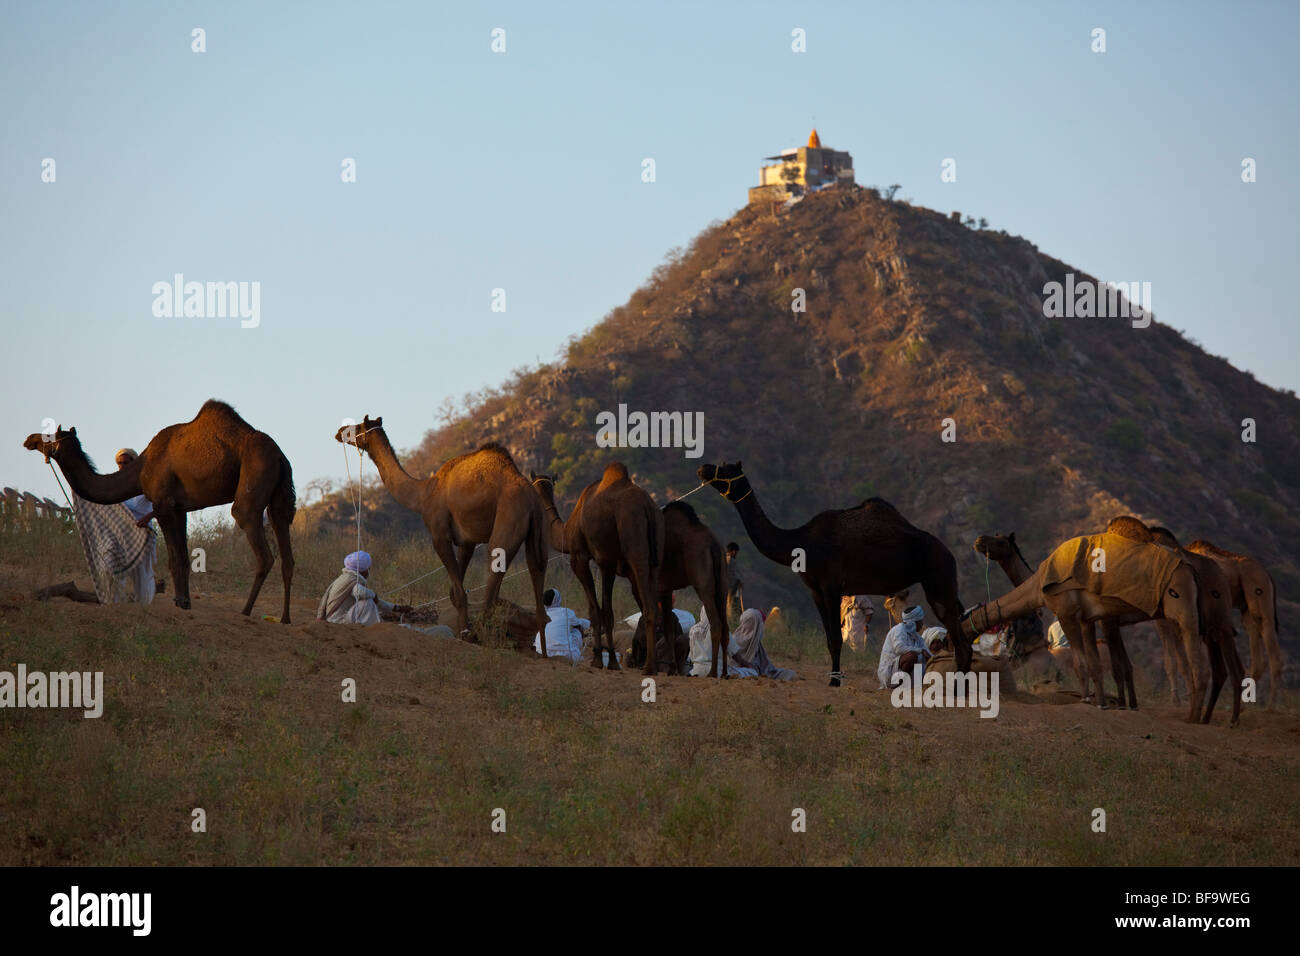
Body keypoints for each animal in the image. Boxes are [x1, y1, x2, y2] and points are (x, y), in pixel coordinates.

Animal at [23, 400, 296, 622]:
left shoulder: (163, 505)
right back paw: (285, 618)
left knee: (259, 543)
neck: (142, 468)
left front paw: (181, 603)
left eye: (49, 436)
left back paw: (246, 611)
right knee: (287, 551)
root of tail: (280, 456)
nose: (29, 440)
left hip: (254, 473)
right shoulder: (181, 508)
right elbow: (184, 557)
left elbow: (174, 558)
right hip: (280, 496)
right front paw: (184, 602)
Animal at [335, 417, 548, 648]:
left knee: (493, 579)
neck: (423, 494)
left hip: (508, 520)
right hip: (537, 535)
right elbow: (455, 591)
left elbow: (459, 592)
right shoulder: (467, 540)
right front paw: (464, 628)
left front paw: (464, 632)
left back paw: (476, 636)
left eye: (357, 426)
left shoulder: (439, 534)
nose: (339, 431)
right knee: (538, 585)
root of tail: (532, 501)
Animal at [530, 464, 665, 674]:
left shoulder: (583, 557)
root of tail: (647, 508)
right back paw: (653, 665)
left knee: (648, 606)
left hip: (635, 546)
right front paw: (612, 661)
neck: (567, 529)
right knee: (650, 607)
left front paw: (599, 660)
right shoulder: (609, 563)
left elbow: (597, 610)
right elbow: (607, 611)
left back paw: (649, 667)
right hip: (657, 550)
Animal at [698, 461, 969, 686]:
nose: (704, 468)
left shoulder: (832, 586)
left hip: (939, 578)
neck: (801, 544)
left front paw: (835, 681)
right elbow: (830, 639)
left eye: (727, 470)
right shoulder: (816, 591)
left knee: (959, 636)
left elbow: (837, 639)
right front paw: (834, 678)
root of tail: (949, 554)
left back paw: (961, 688)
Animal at [1185, 539, 1284, 709]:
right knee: (1257, 656)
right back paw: (1243, 707)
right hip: (1246, 609)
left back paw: (1269, 707)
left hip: (1259, 595)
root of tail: (1267, 574)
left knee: (1273, 653)